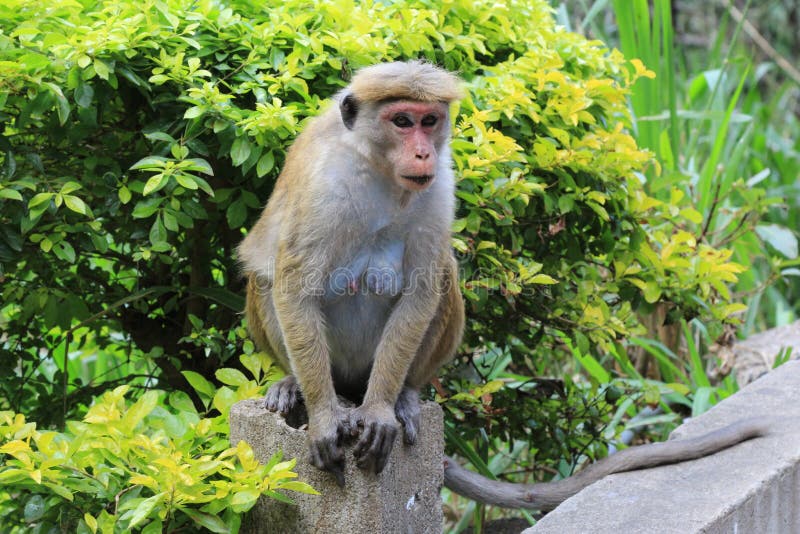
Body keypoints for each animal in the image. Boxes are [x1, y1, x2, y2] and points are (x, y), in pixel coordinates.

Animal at [238, 60, 768, 510]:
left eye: (429, 121)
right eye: (401, 121)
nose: (422, 150)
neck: (379, 168)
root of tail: (351, 381)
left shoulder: (440, 182)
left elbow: (423, 288)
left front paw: (383, 410)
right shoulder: (324, 186)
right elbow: (293, 285)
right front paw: (326, 417)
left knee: (443, 276)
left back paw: (405, 393)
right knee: (266, 278)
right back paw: (293, 384)